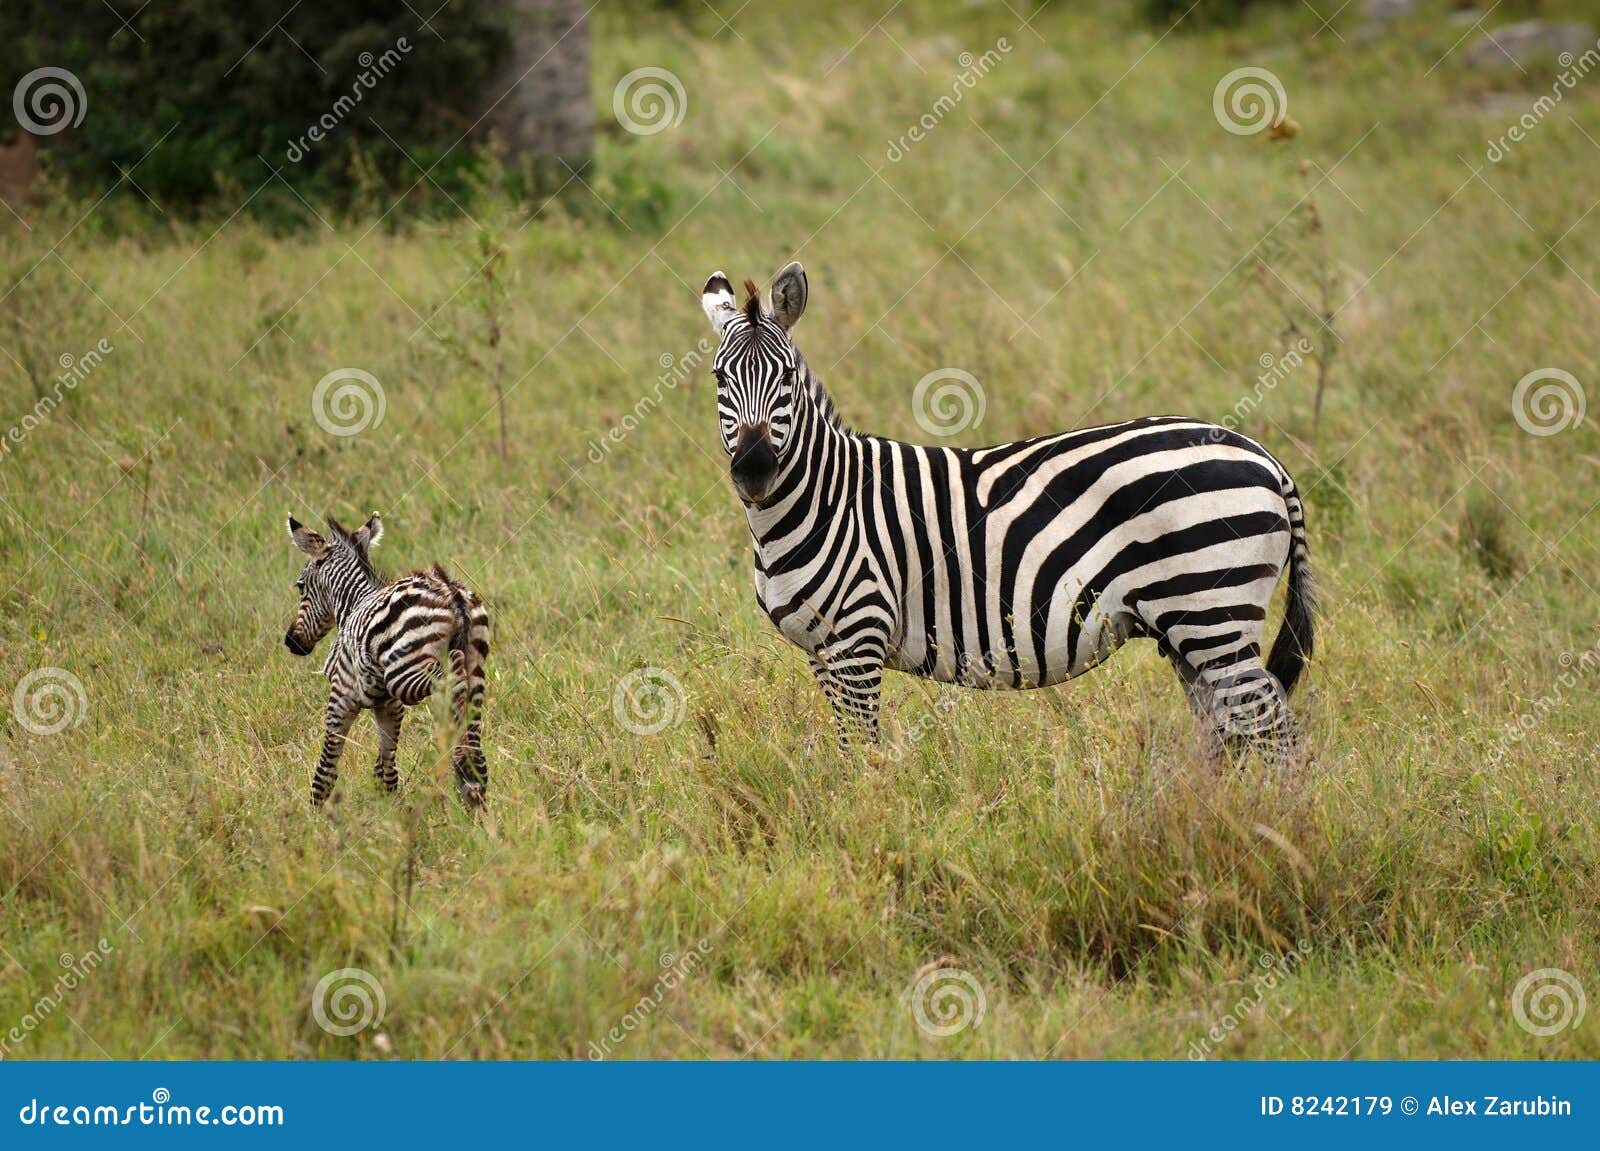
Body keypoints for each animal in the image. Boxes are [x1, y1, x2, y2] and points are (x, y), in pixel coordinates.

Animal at [283, 513, 491, 807]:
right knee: (476, 744)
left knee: (452, 677)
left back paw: (459, 755)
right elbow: (386, 765)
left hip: (406, 673)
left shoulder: (342, 694)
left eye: (300, 586)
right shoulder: (389, 704)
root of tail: (451, 592)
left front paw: (316, 812)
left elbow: (327, 764)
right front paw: (388, 807)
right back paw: (472, 785)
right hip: (475, 666)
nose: (291, 642)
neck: (353, 605)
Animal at [699, 262, 1315, 764]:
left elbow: (861, 756)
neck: (822, 501)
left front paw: (864, 820)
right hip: (1188, 628)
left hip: (1214, 609)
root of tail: (1263, 456)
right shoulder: (823, 652)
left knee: (1274, 730)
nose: (754, 470)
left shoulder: (857, 641)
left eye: (787, 377)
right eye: (718, 377)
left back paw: (1279, 824)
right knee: (1228, 729)